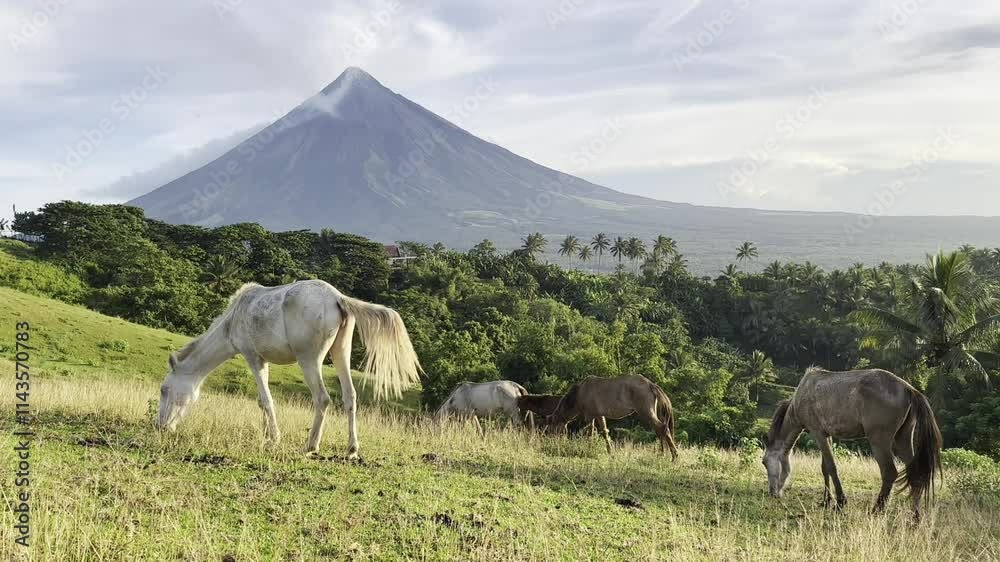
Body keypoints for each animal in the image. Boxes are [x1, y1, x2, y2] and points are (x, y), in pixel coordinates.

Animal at [156, 280, 422, 460]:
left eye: (164, 389)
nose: (160, 427)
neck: (234, 319)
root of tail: (337, 297)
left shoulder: (253, 358)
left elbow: (266, 400)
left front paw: (273, 439)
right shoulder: (263, 361)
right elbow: (261, 401)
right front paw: (266, 435)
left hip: (309, 360)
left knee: (322, 398)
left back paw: (311, 446)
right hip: (340, 353)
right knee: (350, 397)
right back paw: (352, 449)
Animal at [546, 375, 679, 460]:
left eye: (552, 427)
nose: (552, 443)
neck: (580, 393)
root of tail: (650, 384)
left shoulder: (589, 416)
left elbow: (590, 434)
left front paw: (588, 450)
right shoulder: (599, 415)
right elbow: (605, 433)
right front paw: (610, 452)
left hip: (646, 412)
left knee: (662, 428)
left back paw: (673, 456)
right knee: (659, 430)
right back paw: (663, 454)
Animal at [763, 367, 942, 521]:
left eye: (764, 462)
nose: (772, 493)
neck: (801, 395)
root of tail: (908, 389)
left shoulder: (818, 433)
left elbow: (832, 467)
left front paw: (840, 502)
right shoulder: (827, 436)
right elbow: (825, 468)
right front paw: (826, 500)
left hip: (880, 442)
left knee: (889, 473)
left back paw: (876, 510)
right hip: (902, 439)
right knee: (915, 474)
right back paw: (915, 516)